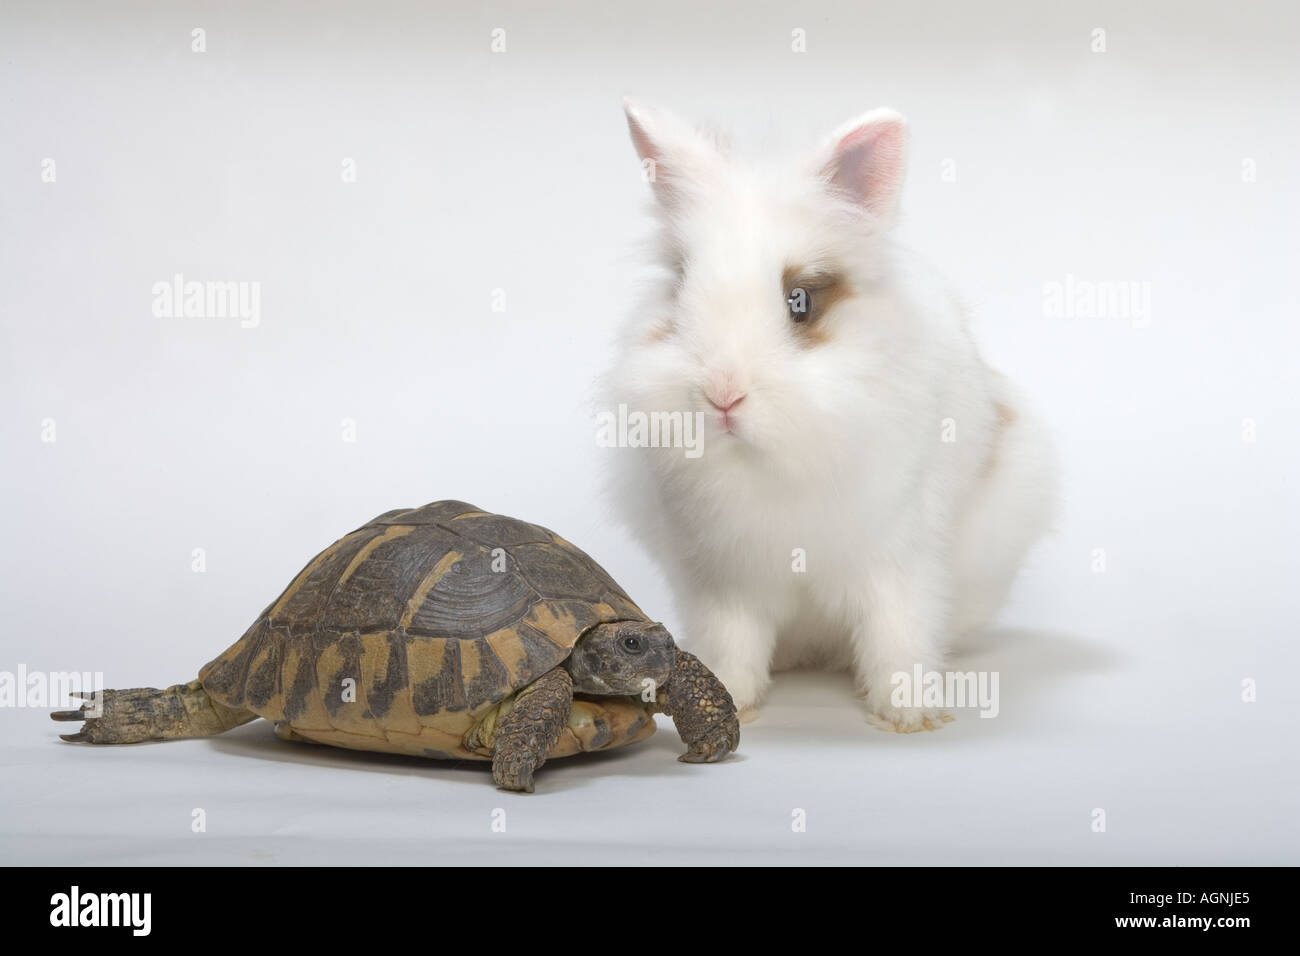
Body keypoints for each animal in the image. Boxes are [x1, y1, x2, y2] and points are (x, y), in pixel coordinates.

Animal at [601, 100, 1059, 731]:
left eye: (801, 302)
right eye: (681, 289)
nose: (722, 394)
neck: (775, 465)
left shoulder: (898, 561)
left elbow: (899, 635)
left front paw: (911, 716)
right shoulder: (725, 581)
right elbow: (734, 641)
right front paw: (730, 697)